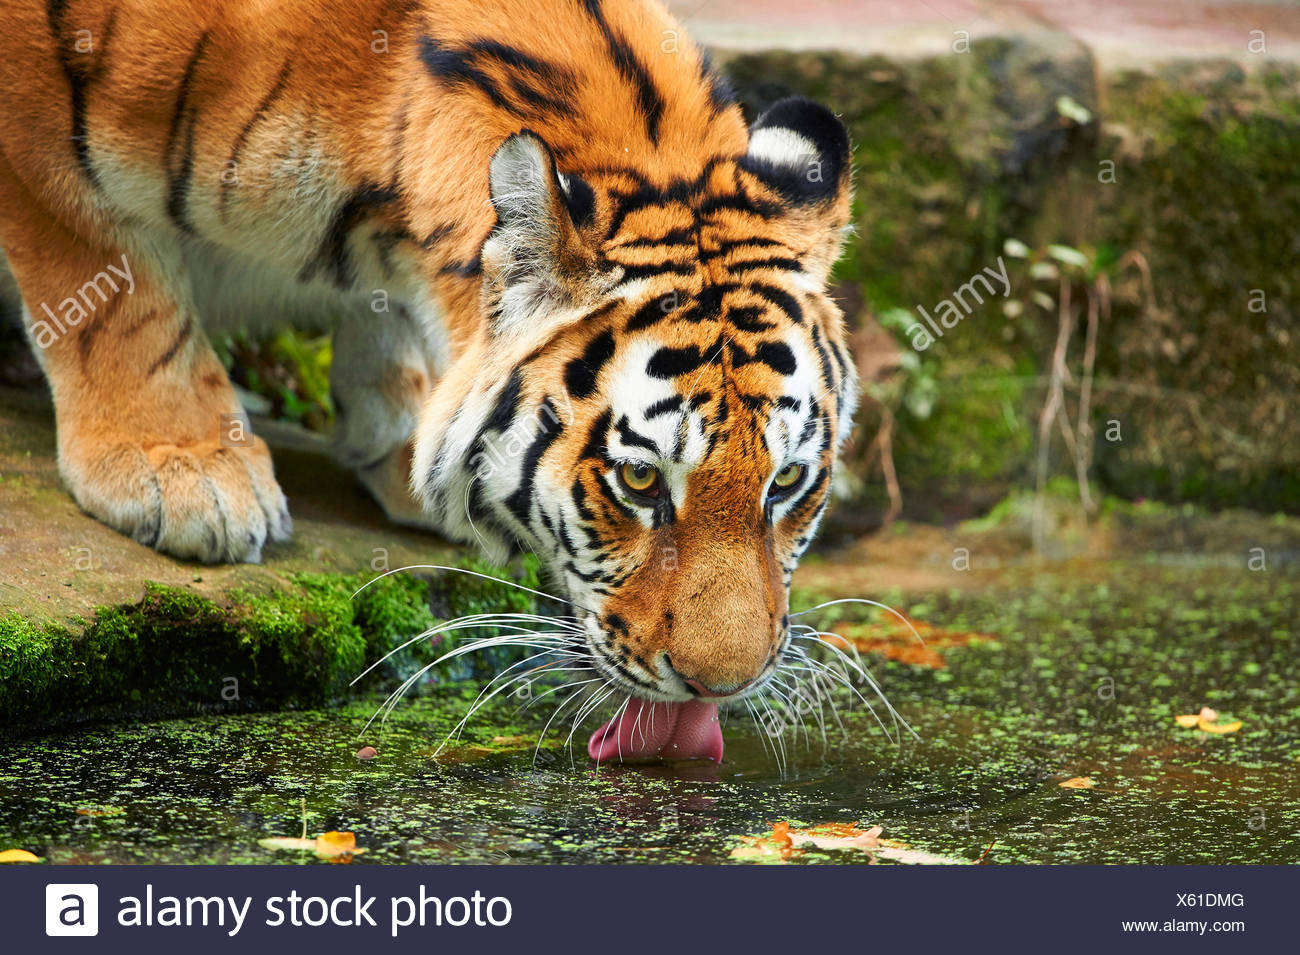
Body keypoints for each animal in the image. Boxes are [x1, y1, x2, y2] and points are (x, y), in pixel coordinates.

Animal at [0, 0, 858, 761]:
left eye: (786, 481)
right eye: (640, 481)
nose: (724, 687)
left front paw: (405, 444)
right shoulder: (40, 133)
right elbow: (114, 284)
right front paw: (181, 469)